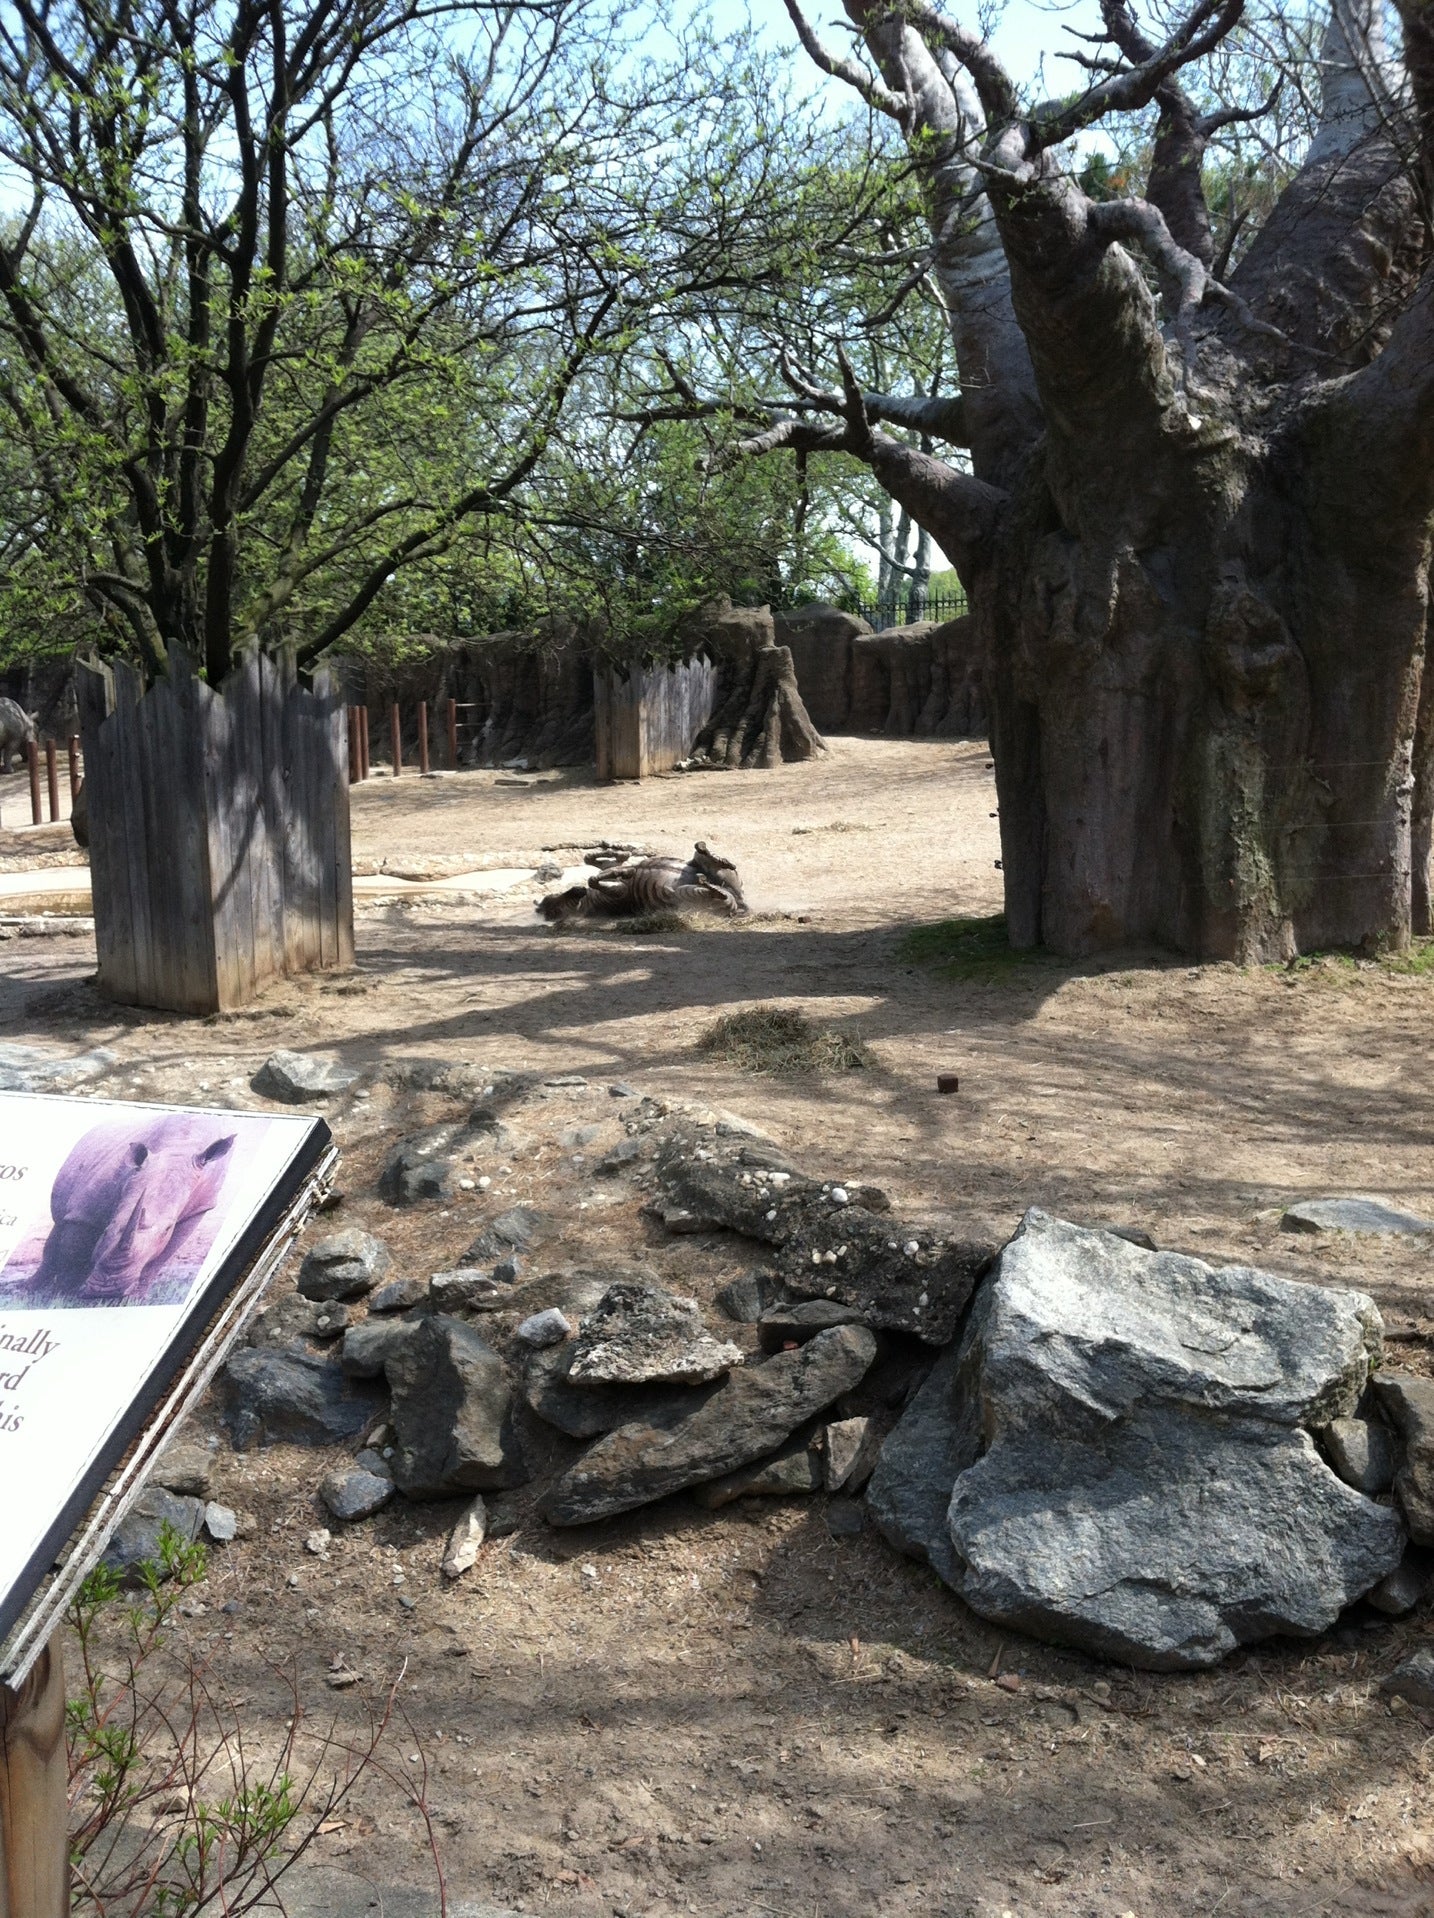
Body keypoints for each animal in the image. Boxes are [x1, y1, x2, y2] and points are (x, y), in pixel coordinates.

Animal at [537, 842, 747, 923]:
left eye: (550, 899)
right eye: (554, 912)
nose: (577, 890)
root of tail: (742, 905)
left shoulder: (608, 871)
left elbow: (593, 860)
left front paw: (620, 857)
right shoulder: (619, 895)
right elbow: (594, 879)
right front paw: (626, 870)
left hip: (719, 877)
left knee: (707, 860)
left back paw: (709, 854)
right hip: (685, 894)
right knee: (717, 891)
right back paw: (706, 882)